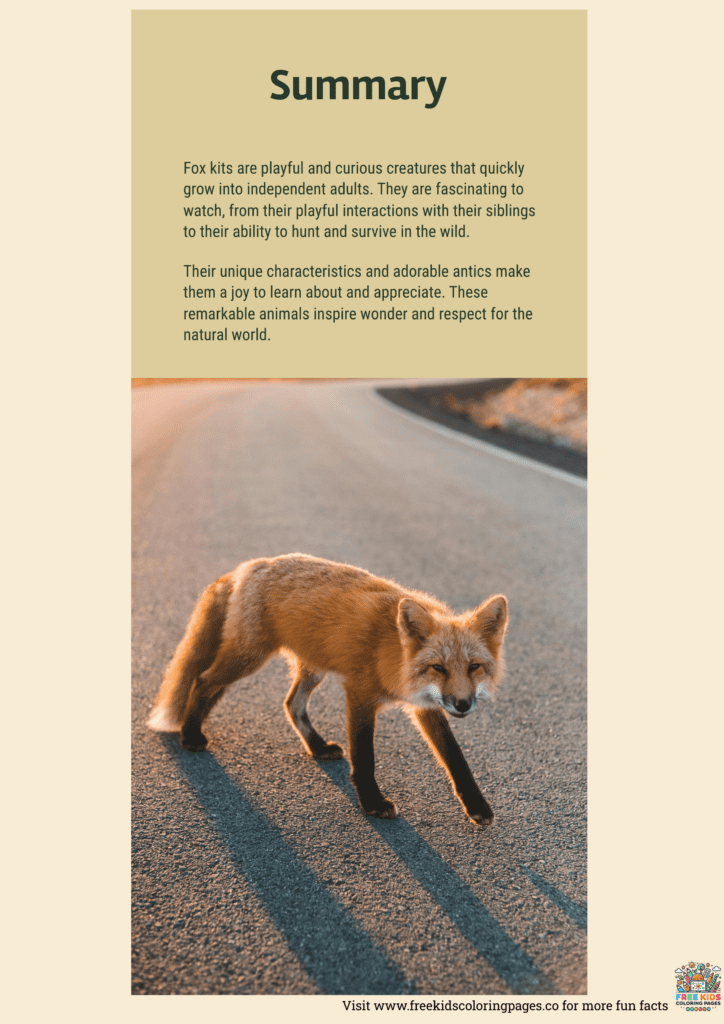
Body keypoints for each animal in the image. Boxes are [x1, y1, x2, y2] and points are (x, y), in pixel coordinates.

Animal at [148, 554, 508, 826]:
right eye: (439, 668)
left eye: (474, 667)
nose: (462, 704)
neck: (392, 650)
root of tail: (250, 565)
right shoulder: (360, 694)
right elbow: (365, 758)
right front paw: (372, 803)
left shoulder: (426, 705)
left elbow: (456, 759)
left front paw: (477, 807)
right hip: (249, 658)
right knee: (202, 681)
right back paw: (190, 734)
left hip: (312, 669)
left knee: (291, 704)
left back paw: (318, 747)